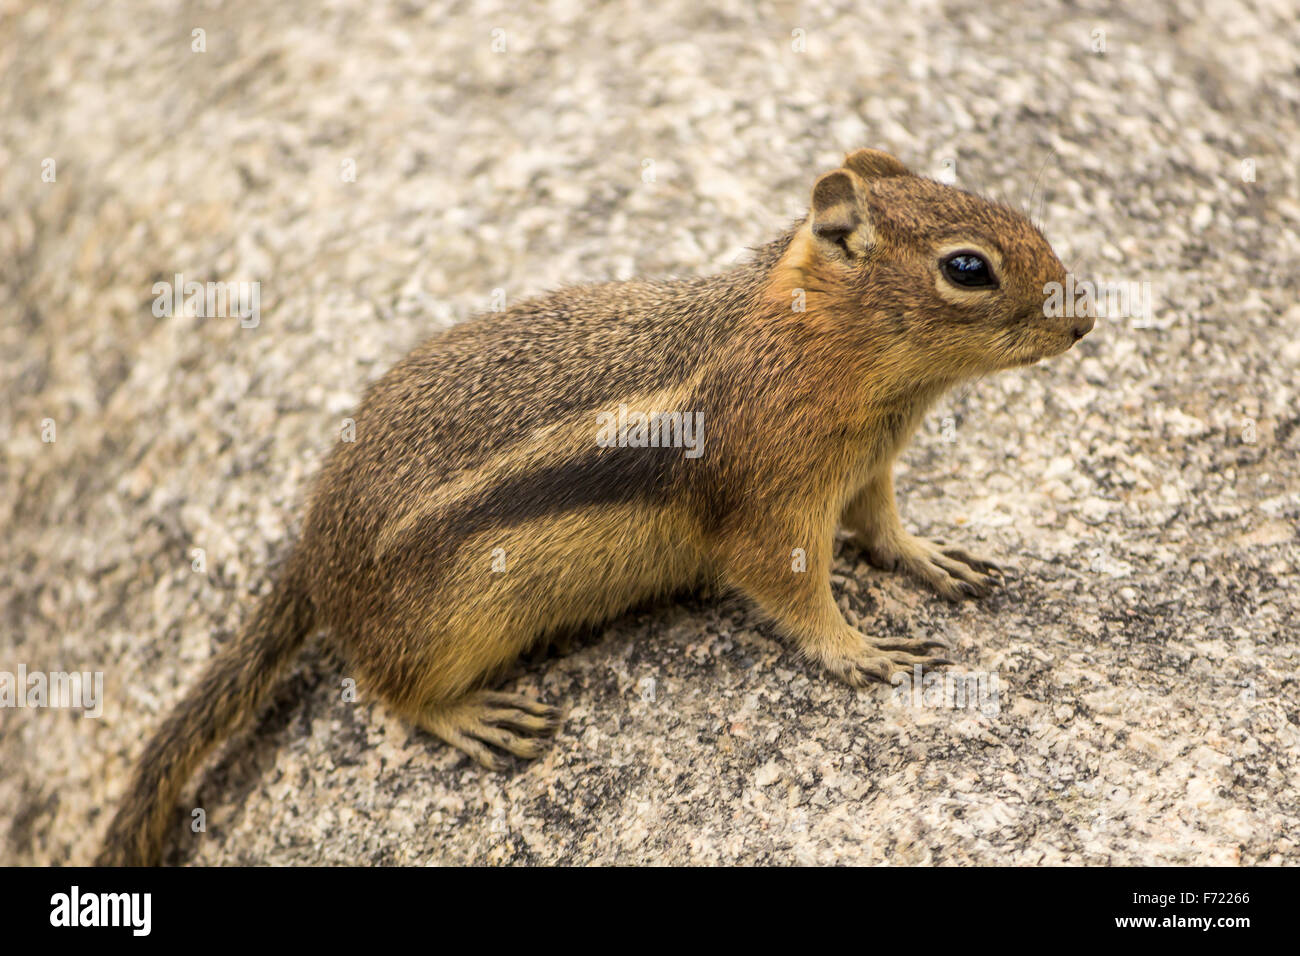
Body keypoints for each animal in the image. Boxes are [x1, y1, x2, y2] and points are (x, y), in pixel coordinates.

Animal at [97, 149, 1091, 865]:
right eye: (967, 268)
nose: (1082, 319)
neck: (813, 345)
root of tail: (310, 549)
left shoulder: (867, 469)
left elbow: (884, 528)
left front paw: (932, 557)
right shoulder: (772, 503)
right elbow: (791, 591)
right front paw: (859, 648)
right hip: (438, 627)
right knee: (385, 690)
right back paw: (468, 716)